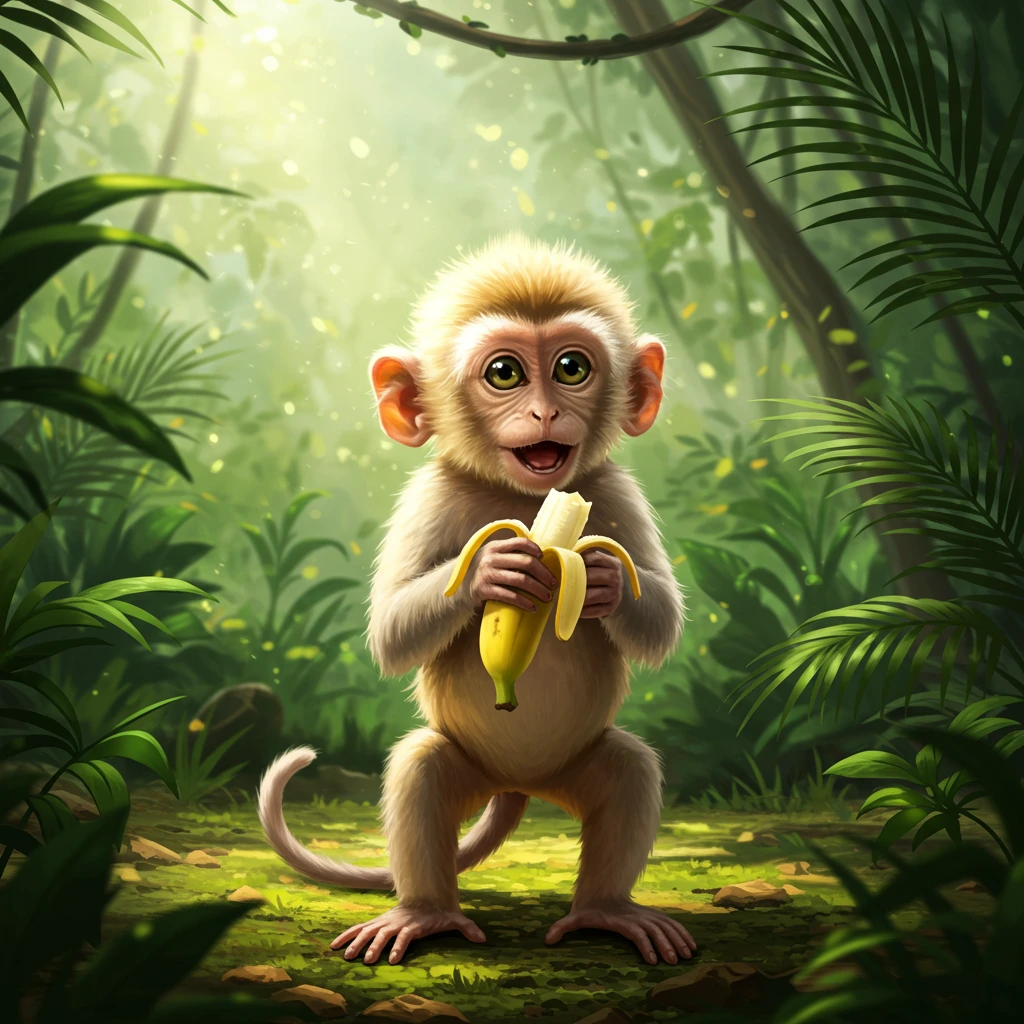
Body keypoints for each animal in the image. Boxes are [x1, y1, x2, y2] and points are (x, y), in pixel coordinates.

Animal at [257, 234, 691, 968]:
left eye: (572, 367)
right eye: (505, 374)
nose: (546, 411)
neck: (523, 498)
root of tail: (522, 783)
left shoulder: (616, 489)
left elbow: (661, 622)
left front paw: (601, 577)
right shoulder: (428, 496)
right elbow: (390, 634)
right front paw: (496, 570)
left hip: (575, 763)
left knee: (629, 770)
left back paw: (605, 910)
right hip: (470, 761)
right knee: (423, 772)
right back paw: (424, 913)